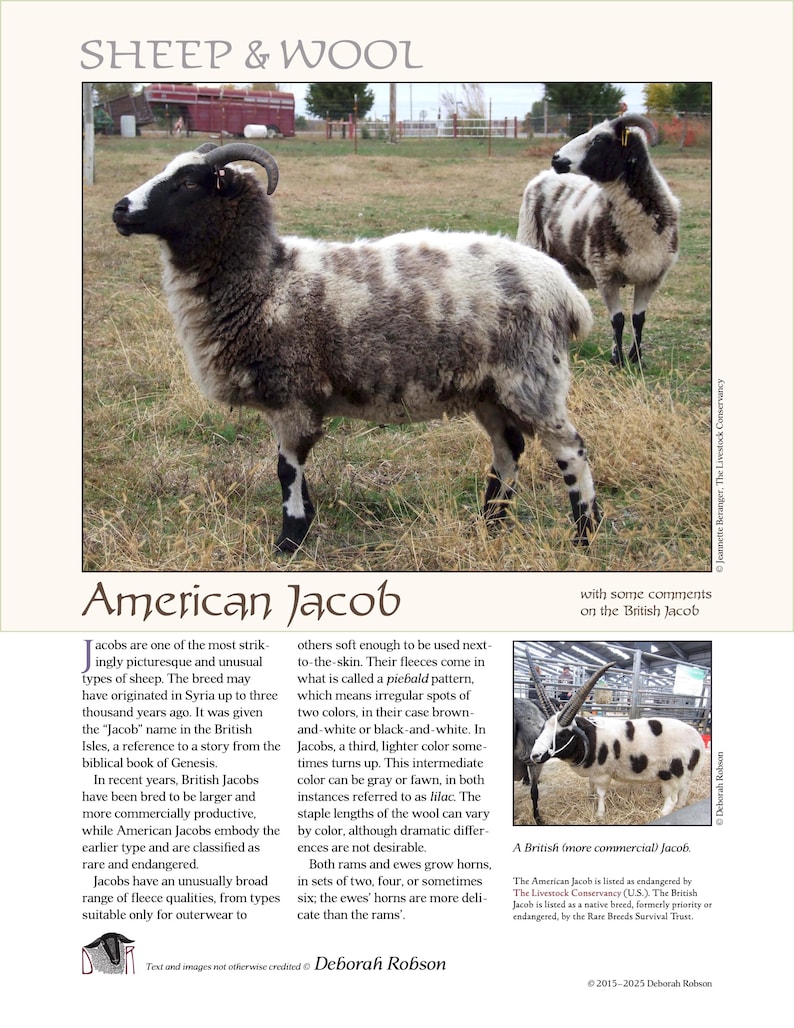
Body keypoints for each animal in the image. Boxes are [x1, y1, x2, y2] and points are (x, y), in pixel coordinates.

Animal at [112, 142, 601, 554]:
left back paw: (584, 533)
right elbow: (292, 471)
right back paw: (488, 526)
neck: (268, 282)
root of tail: (563, 289)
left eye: (190, 182)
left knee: (571, 450)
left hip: (532, 376)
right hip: (488, 388)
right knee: (508, 451)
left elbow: (286, 470)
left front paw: (289, 541)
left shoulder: (294, 393)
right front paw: (301, 527)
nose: (119, 209)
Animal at [517, 114, 681, 367]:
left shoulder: (652, 276)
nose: (556, 158)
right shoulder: (605, 274)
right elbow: (618, 320)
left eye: (600, 140)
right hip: (531, 242)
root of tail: (542, 175)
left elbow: (638, 318)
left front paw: (636, 358)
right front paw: (618, 360)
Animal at [530, 663, 705, 820]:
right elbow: (590, 786)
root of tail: (699, 743)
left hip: (673, 777)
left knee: (671, 800)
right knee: (684, 791)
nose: (535, 756)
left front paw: (600, 814)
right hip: (684, 776)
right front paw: (589, 799)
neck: (591, 736)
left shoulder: (602, 774)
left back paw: (661, 815)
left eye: (562, 735)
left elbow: (601, 793)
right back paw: (681, 806)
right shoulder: (594, 772)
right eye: (543, 727)